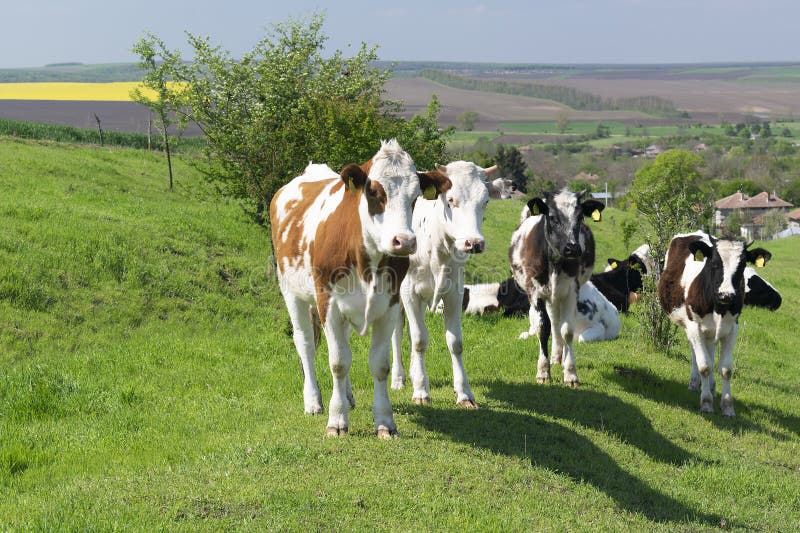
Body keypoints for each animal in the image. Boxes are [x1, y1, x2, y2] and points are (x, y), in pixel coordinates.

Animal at [270, 139, 451, 437]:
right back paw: (313, 400)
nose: (404, 241)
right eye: (375, 192)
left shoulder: (389, 304)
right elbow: (338, 362)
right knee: (305, 343)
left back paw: (348, 396)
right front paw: (336, 420)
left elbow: (379, 364)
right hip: (291, 291)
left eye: (415, 197)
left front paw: (385, 421)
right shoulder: (328, 303)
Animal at [389, 161, 497, 407]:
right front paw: (421, 391)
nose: (474, 243)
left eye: (485, 201)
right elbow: (419, 339)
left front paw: (464, 393)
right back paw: (399, 378)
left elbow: (455, 342)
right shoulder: (409, 292)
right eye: (451, 200)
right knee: (397, 333)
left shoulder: (455, 292)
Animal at [509, 189, 605, 385]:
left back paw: (558, 357)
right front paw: (543, 371)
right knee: (552, 323)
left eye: (580, 217)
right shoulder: (535, 292)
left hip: (557, 295)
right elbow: (542, 328)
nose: (573, 248)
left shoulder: (571, 291)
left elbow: (567, 330)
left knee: (557, 323)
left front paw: (570, 372)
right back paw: (554, 357)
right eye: (552, 217)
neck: (554, 261)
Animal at [658, 231, 771, 416]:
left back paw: (711, 387)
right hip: (690, 325)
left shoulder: (732, 328)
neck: (719, 307)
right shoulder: (694, 326)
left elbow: (725, 369)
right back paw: (695, 384)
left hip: (711, 331)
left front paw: (727, 406)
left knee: (710, 352)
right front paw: (706, 402)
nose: (726, 294)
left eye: (742, 266)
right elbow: (705, 366)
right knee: (697, 353)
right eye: (715, 264)